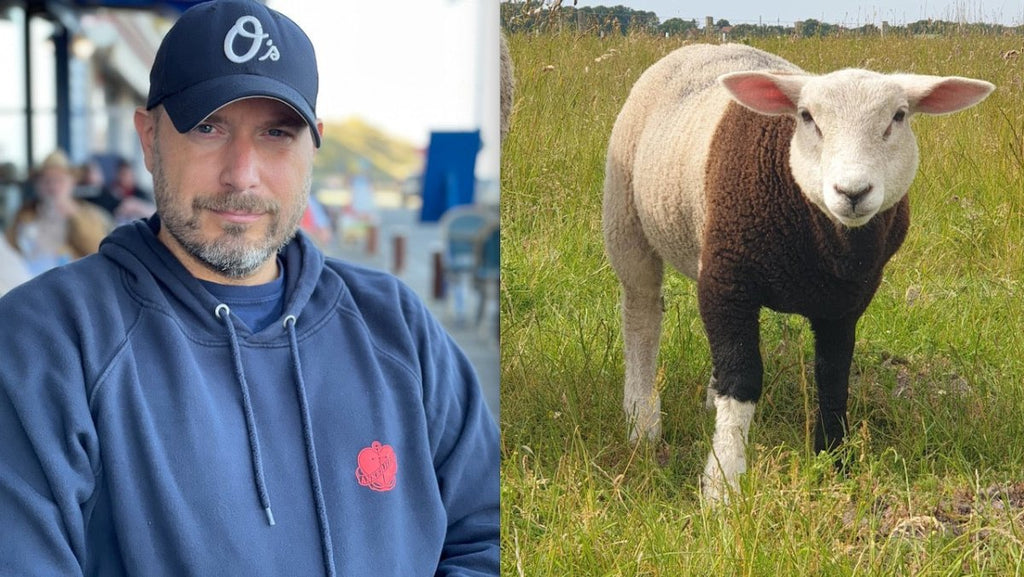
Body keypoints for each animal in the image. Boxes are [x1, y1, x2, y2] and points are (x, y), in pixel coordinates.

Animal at [602, 43, 994, 501]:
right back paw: (642, 420)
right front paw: (723, 483)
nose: (853, 192)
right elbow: (742, 377)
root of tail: (706, 46)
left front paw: (834, 460)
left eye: (898, 116)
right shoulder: (730, 280)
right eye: (807, 117)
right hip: (626, 217)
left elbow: (833, 375)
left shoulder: (846, 300)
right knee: (642, 313)